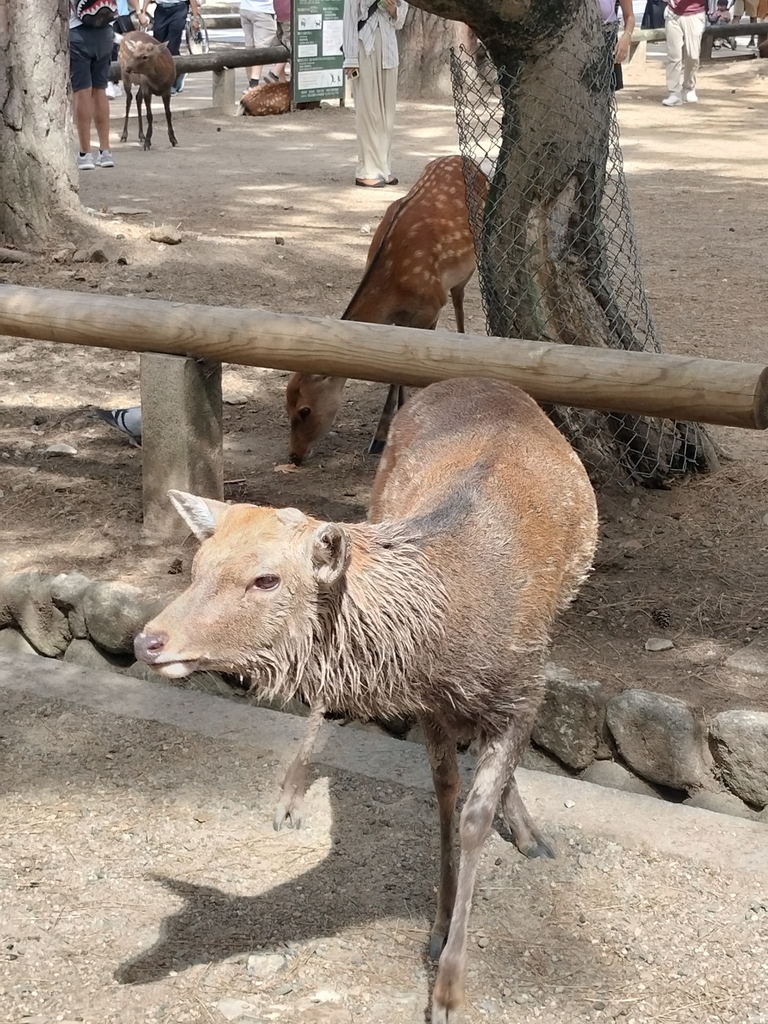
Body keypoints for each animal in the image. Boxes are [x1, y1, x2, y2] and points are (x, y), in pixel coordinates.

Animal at [134, 376, 599, 1023]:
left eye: (266, 579)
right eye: (196, 566)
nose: (147, 640)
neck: (448, 651)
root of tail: (478, 379)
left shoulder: (524, 687)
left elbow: (474, 814)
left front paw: (449, 990)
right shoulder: (433, 706)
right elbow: (446, 798)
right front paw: (437, 928)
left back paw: (530, 835)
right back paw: (288, 796)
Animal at [286, 155, 488, 464]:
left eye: (305, 410)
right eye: (286, 404)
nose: (294, 455)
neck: (394, 283)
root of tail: (465, 158)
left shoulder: (429, 305)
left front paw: (384, 435)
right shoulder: (403, 317)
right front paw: (389, 428)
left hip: (468, 263)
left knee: (459, 300)